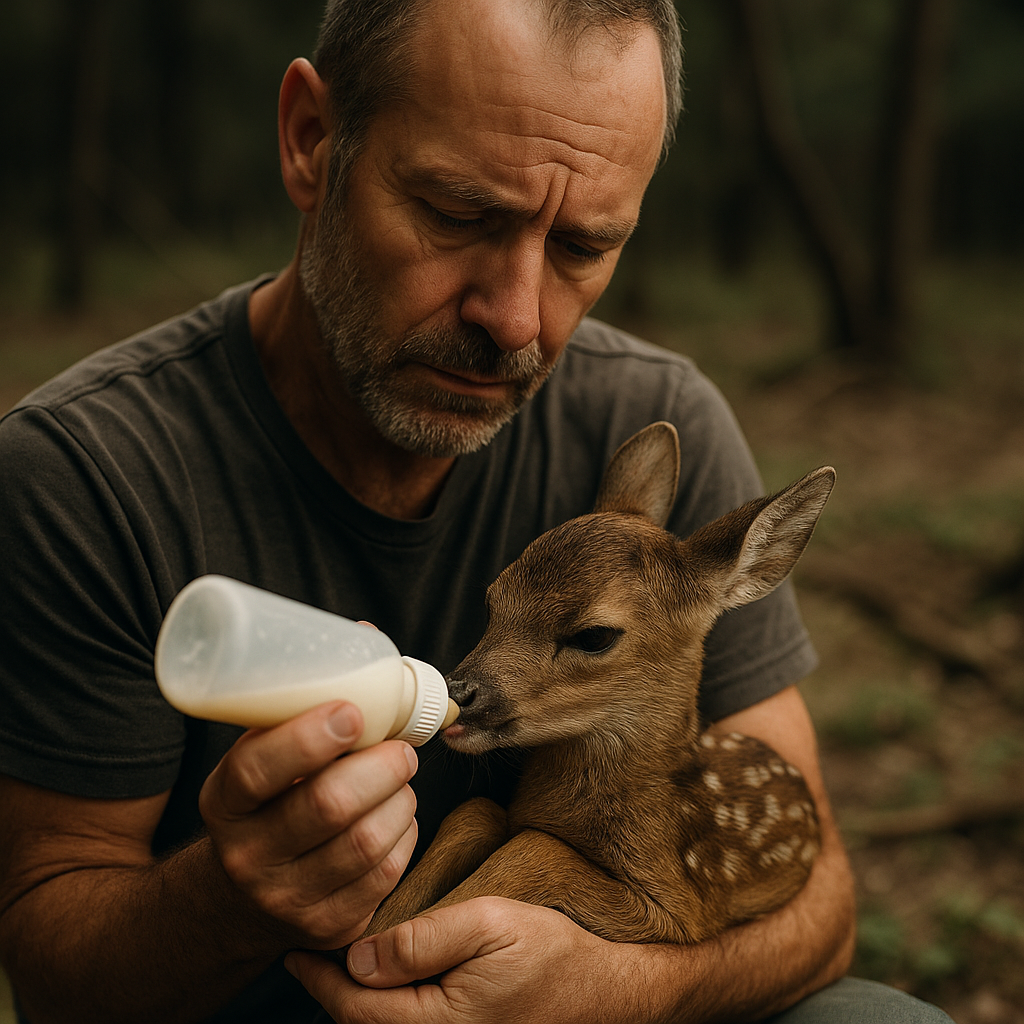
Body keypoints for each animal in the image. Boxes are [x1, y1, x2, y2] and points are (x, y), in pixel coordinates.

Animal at [368, 421, 836, 945]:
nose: (458, 692)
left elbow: (538, 847)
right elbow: (477, 813)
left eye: (593, 636)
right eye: (492, 601)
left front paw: (376, 949)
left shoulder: (680, 909)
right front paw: (375, 931)